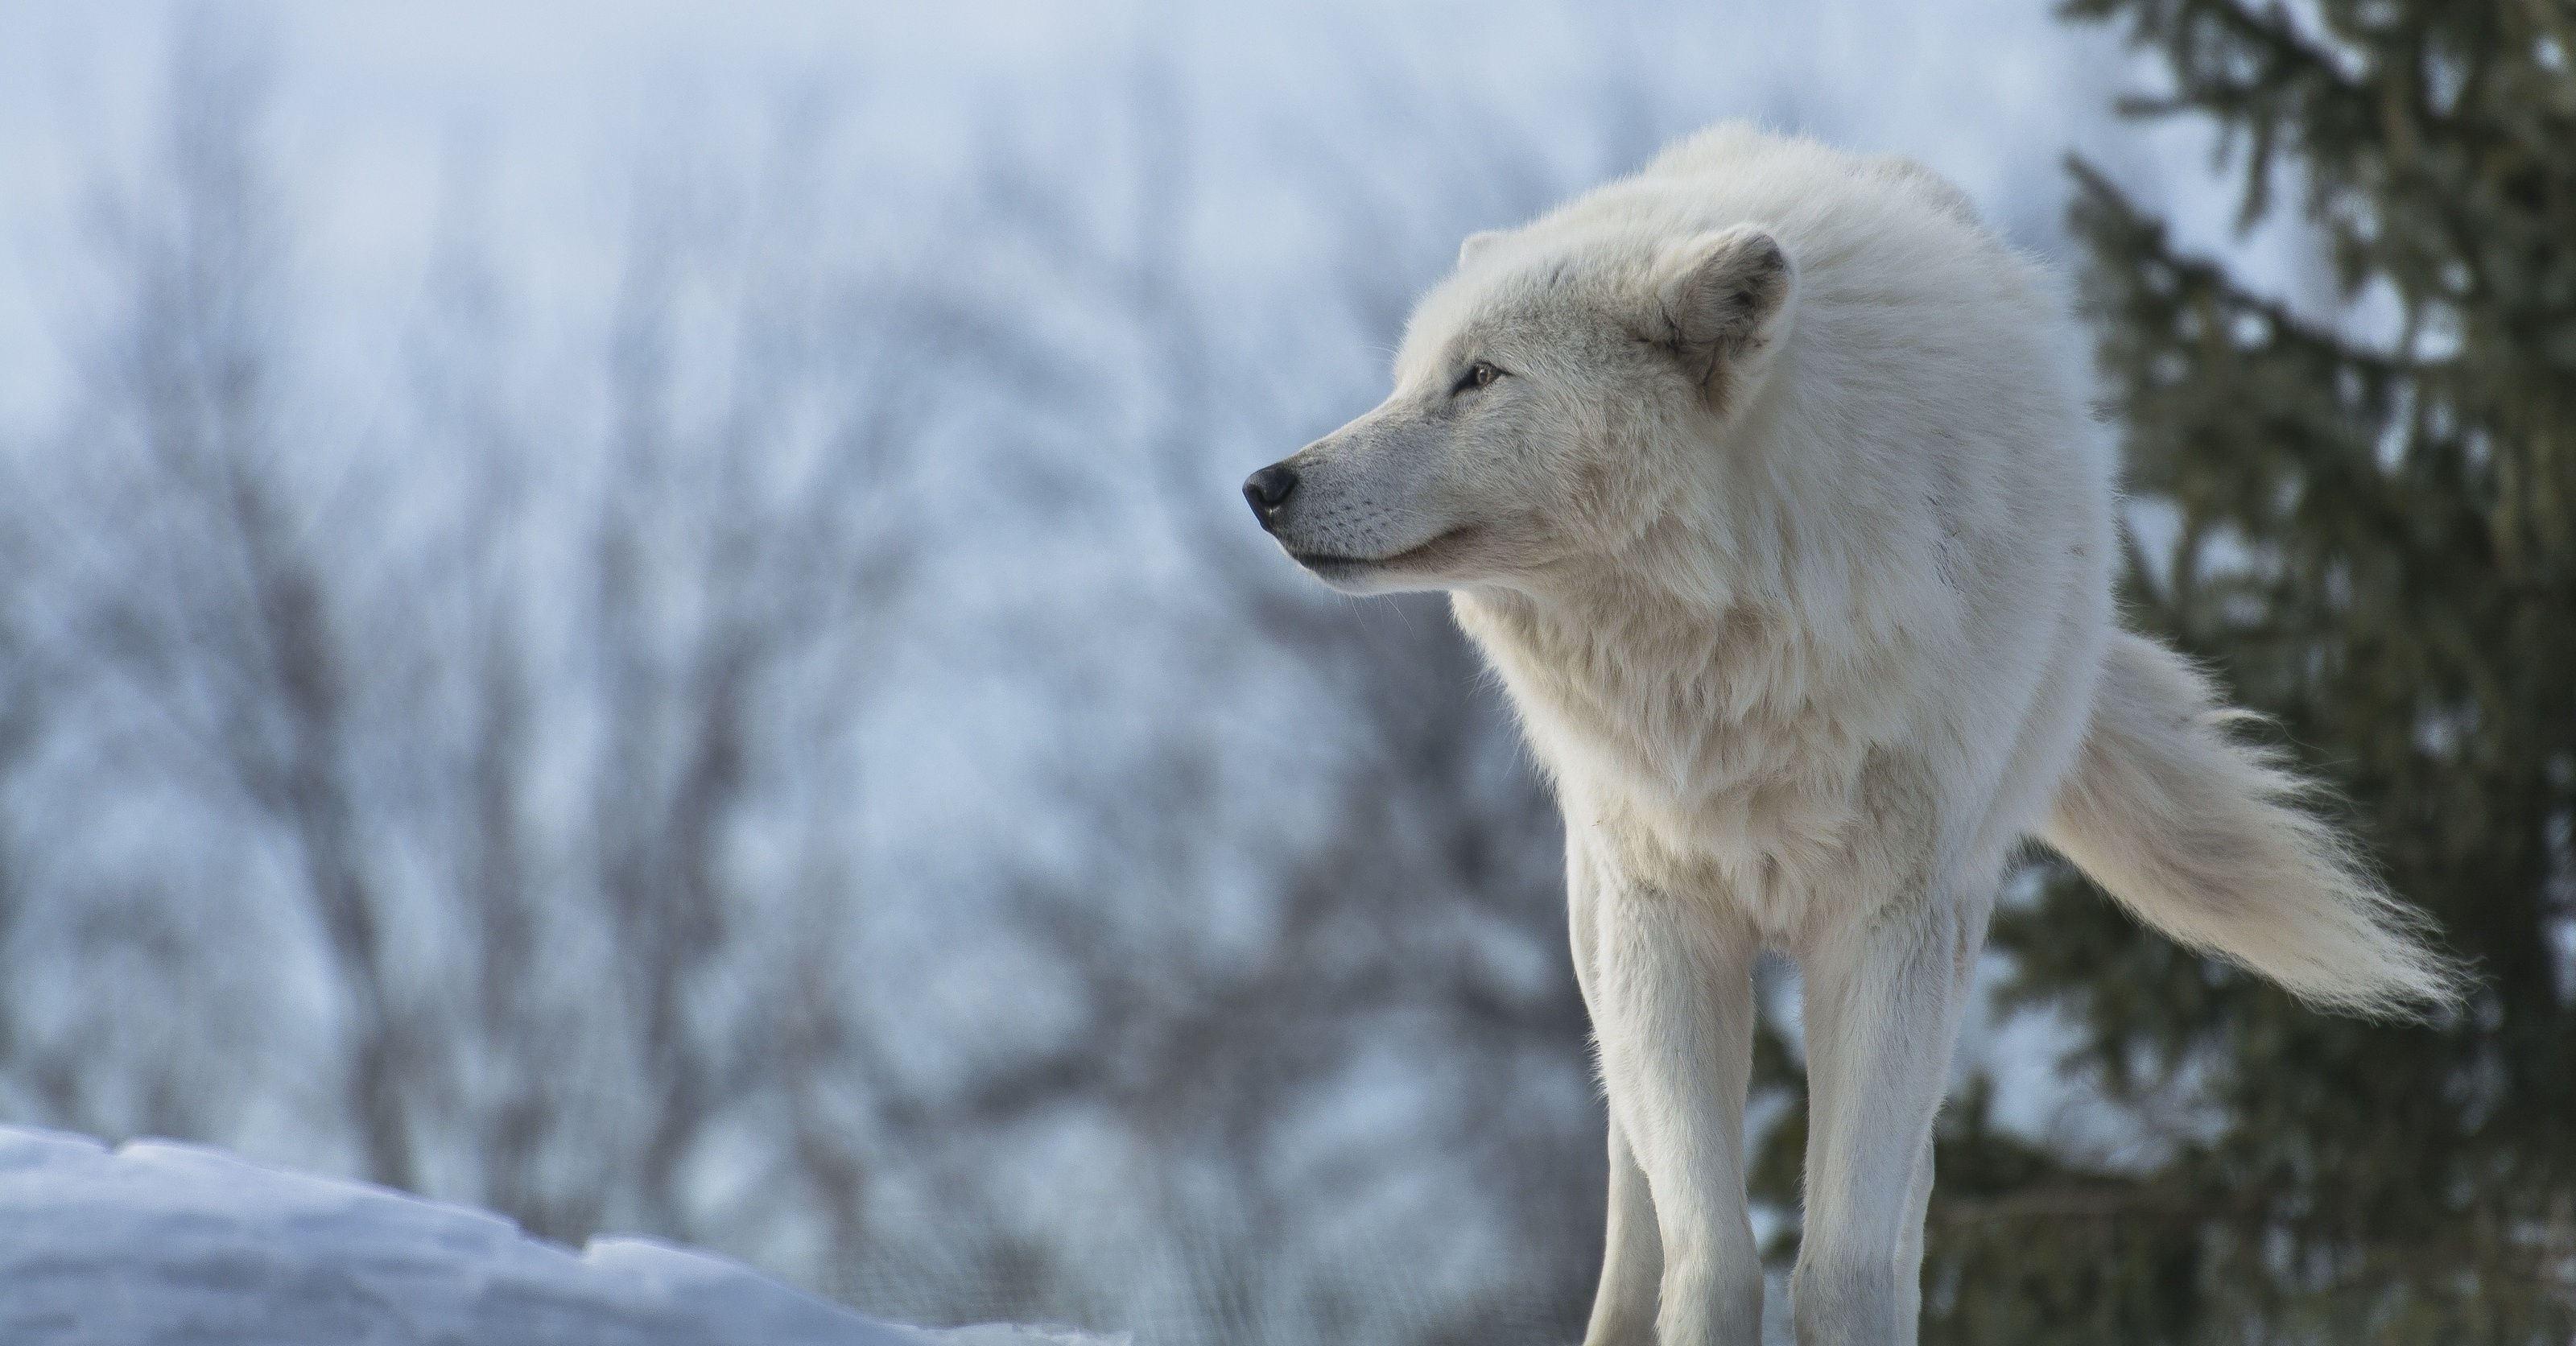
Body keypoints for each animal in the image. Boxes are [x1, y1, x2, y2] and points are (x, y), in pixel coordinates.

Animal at [1243, 124, 2460, 1346]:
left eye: (1480, 377)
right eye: (1412, 377)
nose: (1264, 484)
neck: (1738, 637)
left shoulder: (1892, 925)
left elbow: (1845, 1264)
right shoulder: (1664, 918)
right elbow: (1708, 1256)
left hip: (1945, 947)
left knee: (1904, 1195)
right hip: (1601, 928)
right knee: (1633, 1181)